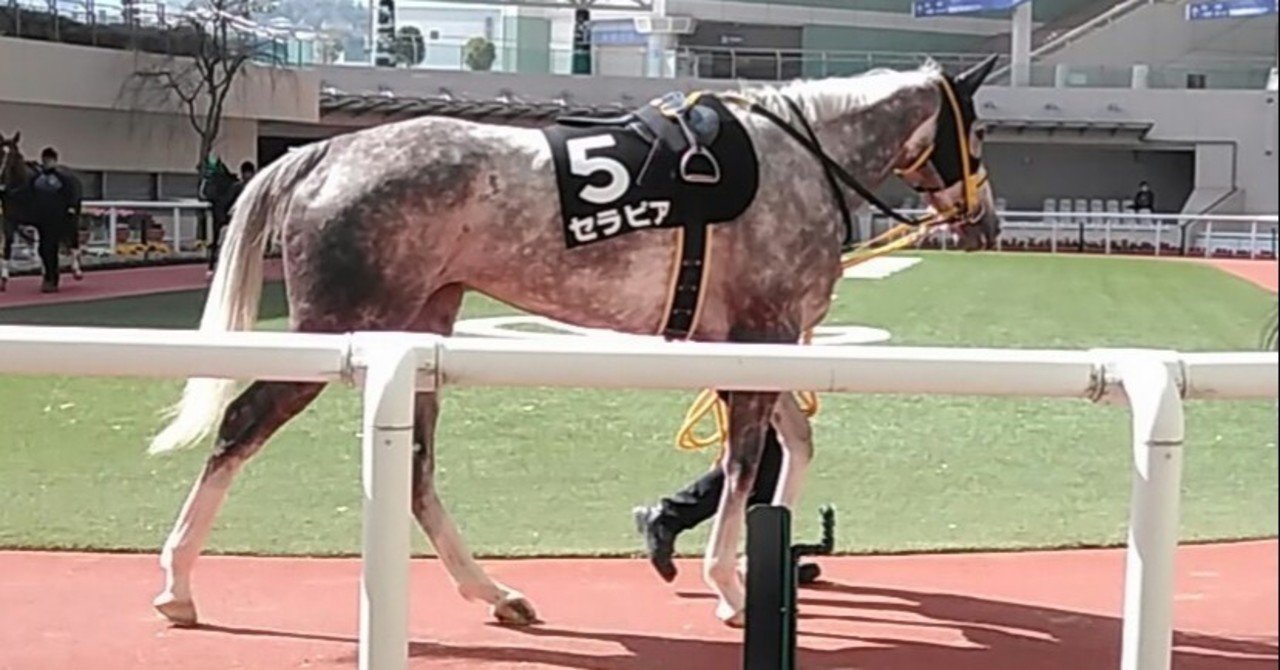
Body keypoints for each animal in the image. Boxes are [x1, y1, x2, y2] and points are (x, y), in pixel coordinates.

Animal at [144, 56, 1003, 628]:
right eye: (979, 128)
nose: (988, 221)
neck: (799, 156)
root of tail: (324, 150)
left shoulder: (754, 340)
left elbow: (789, 441)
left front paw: (763, 563)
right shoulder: (764, 332)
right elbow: (745, 460)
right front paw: (729, 585)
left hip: (421, 325)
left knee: (415, 469)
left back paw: (495, 593)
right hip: (339, 324)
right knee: (242, 424)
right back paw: (178, 583)